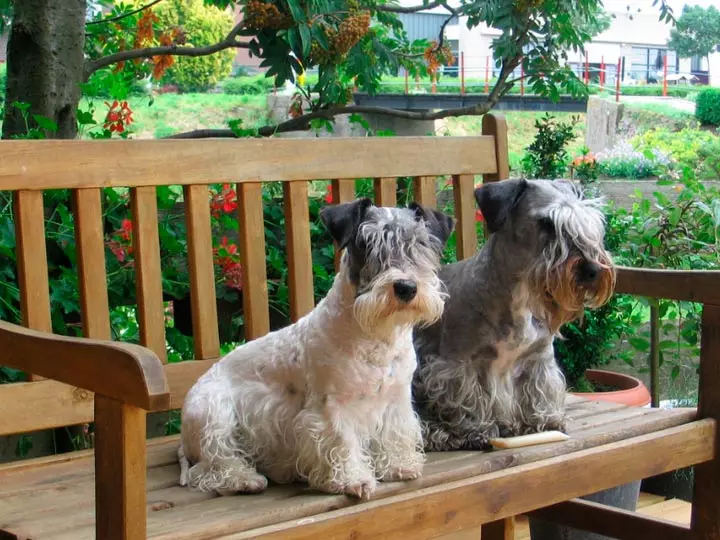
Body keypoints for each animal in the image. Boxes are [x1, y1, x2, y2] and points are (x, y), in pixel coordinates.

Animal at [177, 198, 452, 502]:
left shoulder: (396, 400)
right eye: (367, 243)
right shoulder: (332, 406)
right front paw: (352, 480)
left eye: (421, 243)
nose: (406, 287)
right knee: (212, 465)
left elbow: (395, 433)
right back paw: (245, 479)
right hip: (214, 415)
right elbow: (342, 441)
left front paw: (399, 465)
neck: (376, 336)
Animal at [414, 179, 616, 450]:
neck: (521, 299)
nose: (593, 269)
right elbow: (467, 400)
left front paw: (545, 422)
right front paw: (475, 430)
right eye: (546, 223)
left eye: (587, 219)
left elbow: (538, 391)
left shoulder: (538, 358)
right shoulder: (457, 364)